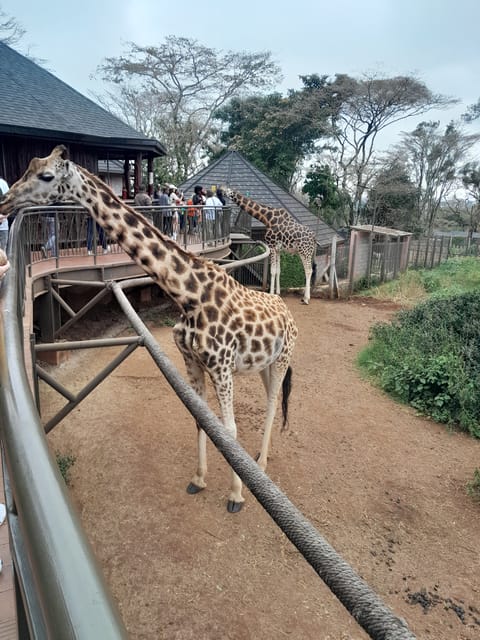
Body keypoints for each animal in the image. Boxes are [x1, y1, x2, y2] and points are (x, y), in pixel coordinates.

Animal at [0, 146, 298, 513]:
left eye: (46, 175)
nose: (5, 201)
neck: (188, 296)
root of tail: (288, 314)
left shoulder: (222, 366)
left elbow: (229, 429)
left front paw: (236, 495)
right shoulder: (192, 361)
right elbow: (201, 420)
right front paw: (199, 479)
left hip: (282, 358)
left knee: (272, 402)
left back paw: (262, 462)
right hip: (263, 364)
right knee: (274, 395)